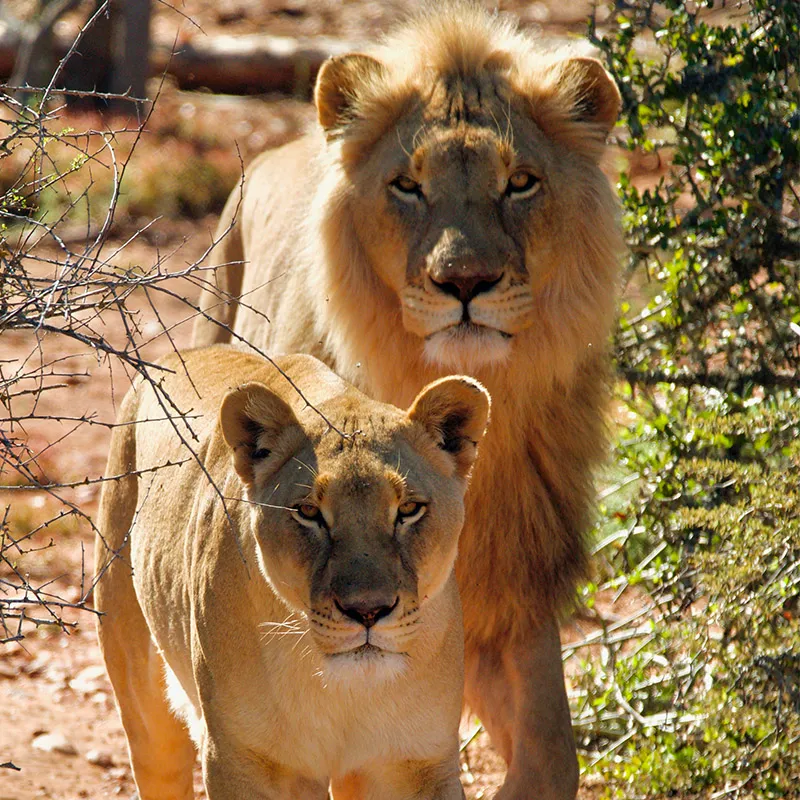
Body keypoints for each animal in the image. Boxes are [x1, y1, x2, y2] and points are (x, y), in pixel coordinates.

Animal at [94, 345, 489, 800]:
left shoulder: (417, 763)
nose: (367, 611)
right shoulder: (244, 761)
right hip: (142, 702)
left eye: (408, 509)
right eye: (308, 513)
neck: (344, 692)